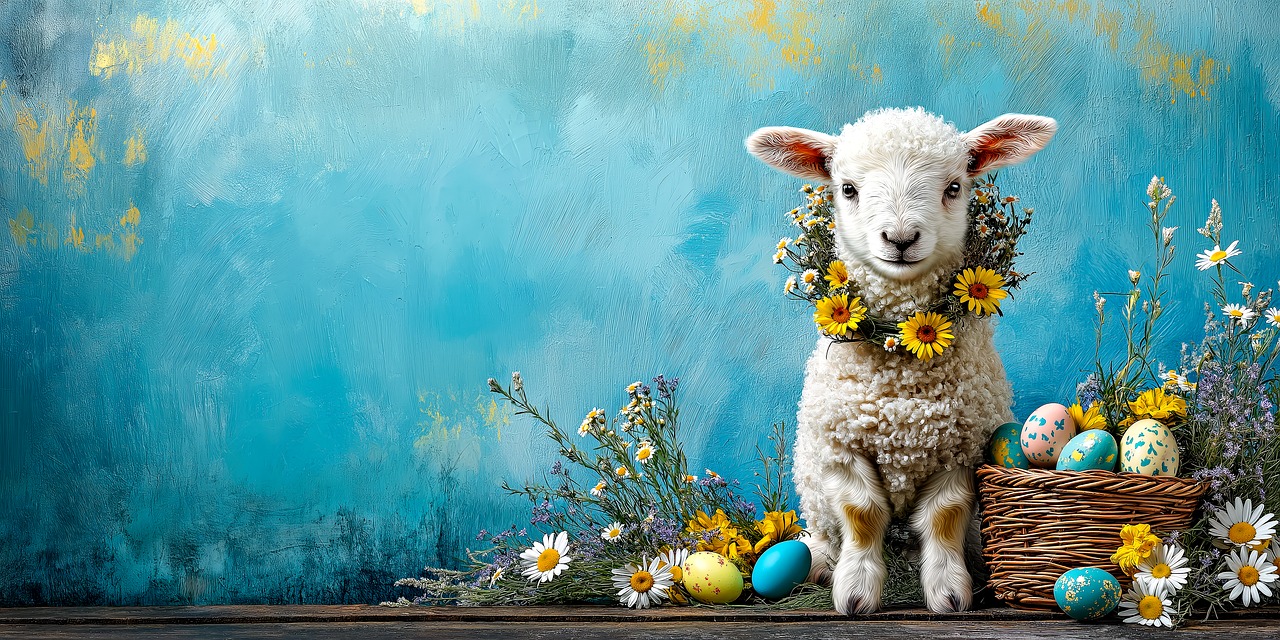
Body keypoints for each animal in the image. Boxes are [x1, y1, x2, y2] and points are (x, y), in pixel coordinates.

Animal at [745, 107, 1056, 615]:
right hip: (817, 501)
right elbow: (862, 514)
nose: (901, 238)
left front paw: (948, 593)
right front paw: (856, 593)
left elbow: (946, 517)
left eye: (954, 187)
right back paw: (821, 564)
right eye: (847, 189)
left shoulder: (962, 446)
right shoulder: (841, 446)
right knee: (830, 536)